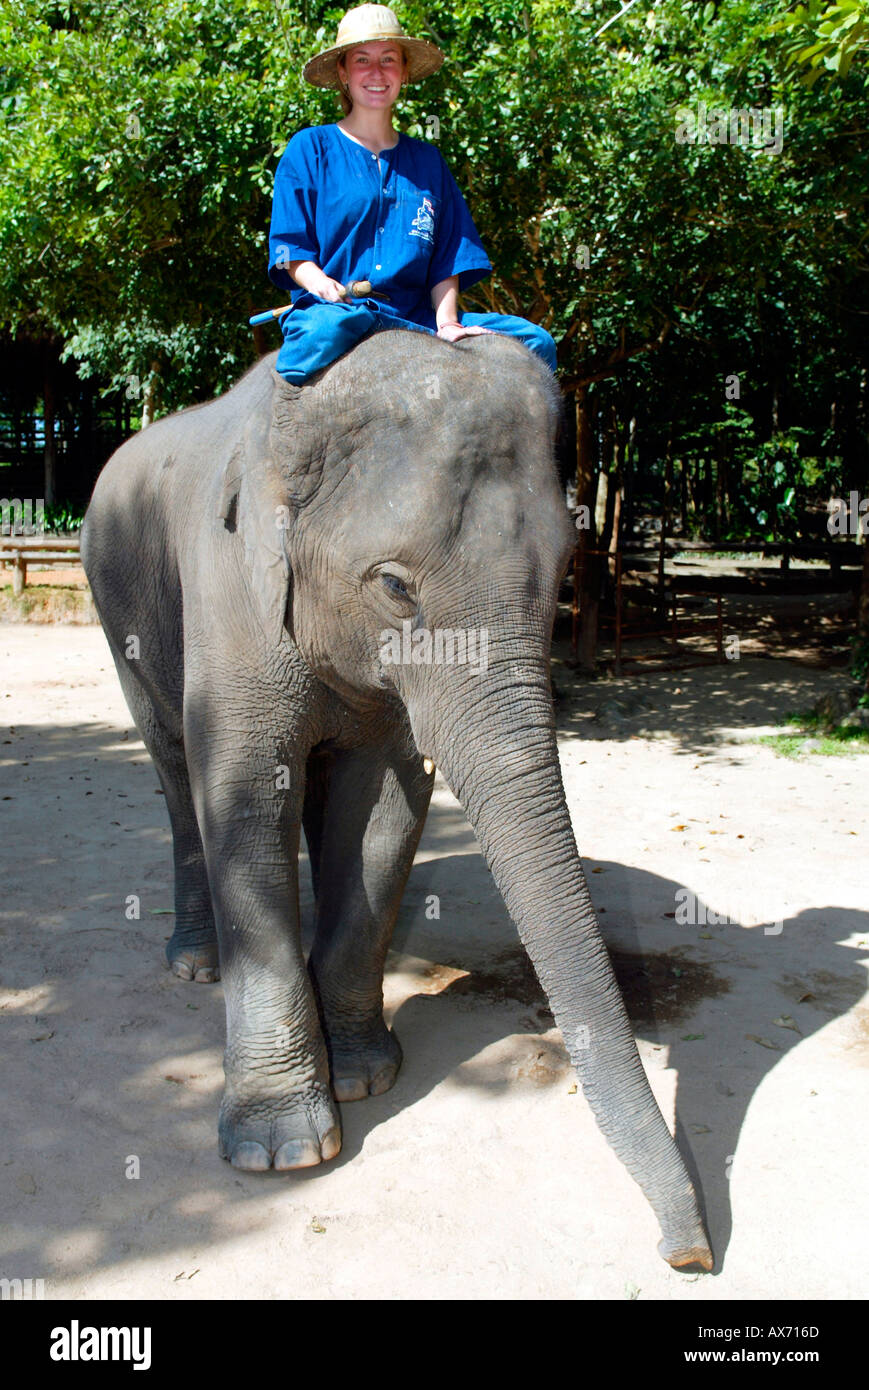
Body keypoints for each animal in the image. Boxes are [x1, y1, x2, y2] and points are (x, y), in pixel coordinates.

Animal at [81, 329, 713, 1272]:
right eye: (392, 586)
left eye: (565, 572)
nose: (689, 1255)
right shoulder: (230, 598)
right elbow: (240, 795)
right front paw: (284, 1153)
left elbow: (381, 810)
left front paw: (366, 1077)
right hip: (118, 600)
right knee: (172, 771)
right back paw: (195, 963)